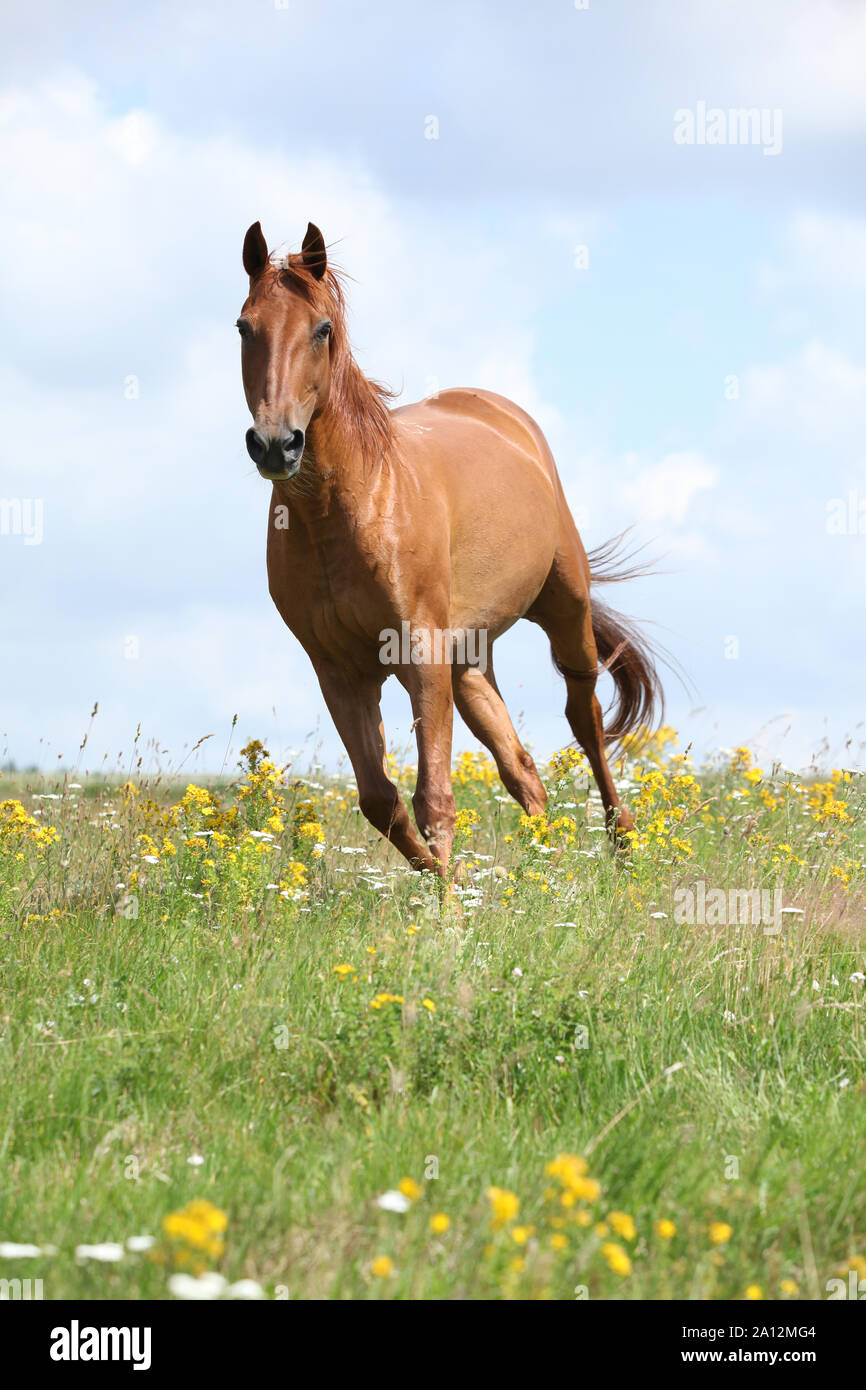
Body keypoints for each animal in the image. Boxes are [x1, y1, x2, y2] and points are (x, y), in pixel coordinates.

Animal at [237, 221, 661, 878]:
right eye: (244, 326)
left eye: (322, 328)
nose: (275, 444)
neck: (346, 512)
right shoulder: (339, 672)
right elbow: (380, 801)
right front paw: (454, 883)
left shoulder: (420, 654)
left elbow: (433, 796)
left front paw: (450, 904)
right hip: (469, 661)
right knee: (522, 768)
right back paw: (545, 874)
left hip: (564, 609)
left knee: (585, 721)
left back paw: (622, 847)